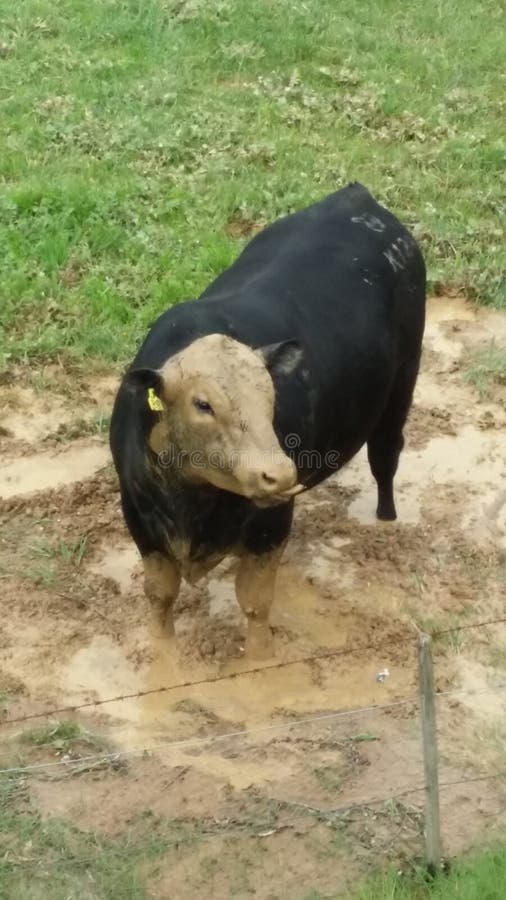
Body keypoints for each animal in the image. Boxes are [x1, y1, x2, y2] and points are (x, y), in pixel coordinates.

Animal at [109, 182, 426, 658]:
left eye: (270, 394)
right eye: (202, 404)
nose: (277, 473)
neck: (192, 501)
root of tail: (356, 198)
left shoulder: (270, 526)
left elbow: (255, 603)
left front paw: (259, 660)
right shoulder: (139, 520)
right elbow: (160, 595)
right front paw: (162, 652)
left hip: (402, 385)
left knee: (385, 457)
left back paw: (385, 520)